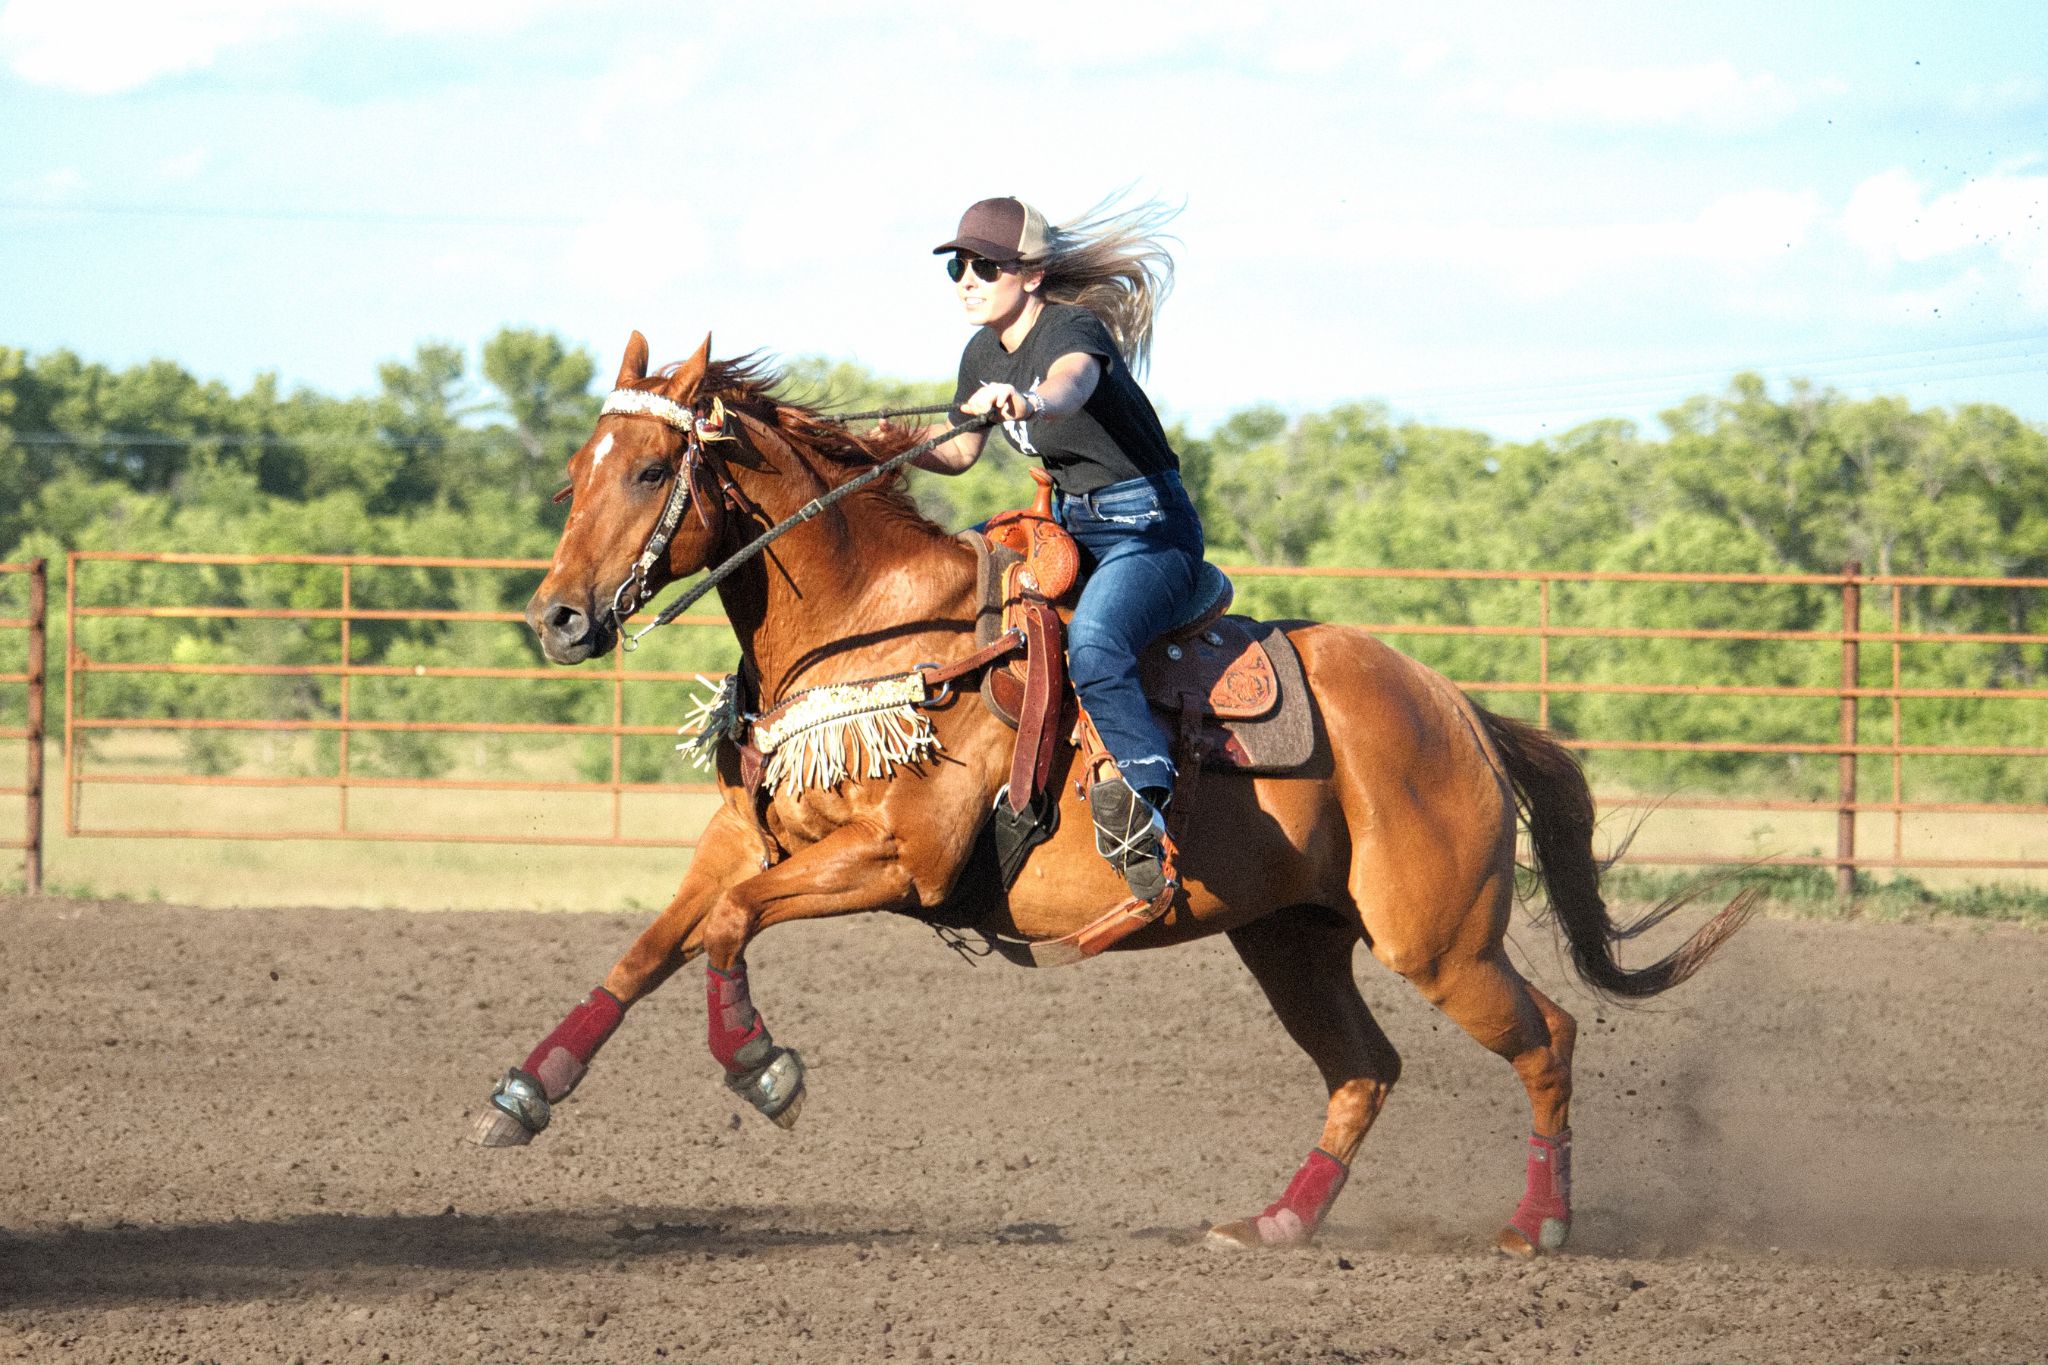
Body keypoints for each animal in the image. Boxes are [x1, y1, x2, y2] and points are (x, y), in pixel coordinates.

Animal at [471, 330, 1753, 1257]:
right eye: (571, 475)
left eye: (650, 471)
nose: (558, 619)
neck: (874, 628)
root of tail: (1458, 713)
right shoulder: (746, 840)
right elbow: (652, 947)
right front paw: (526, 1092)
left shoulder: (898, 865)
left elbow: (730, 932)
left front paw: (762, 1069)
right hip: (1292, 940)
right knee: (1363, 1070)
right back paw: (1275, 1222)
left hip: (1436, 940)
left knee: (1548, 1039)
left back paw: (1538, 1227)